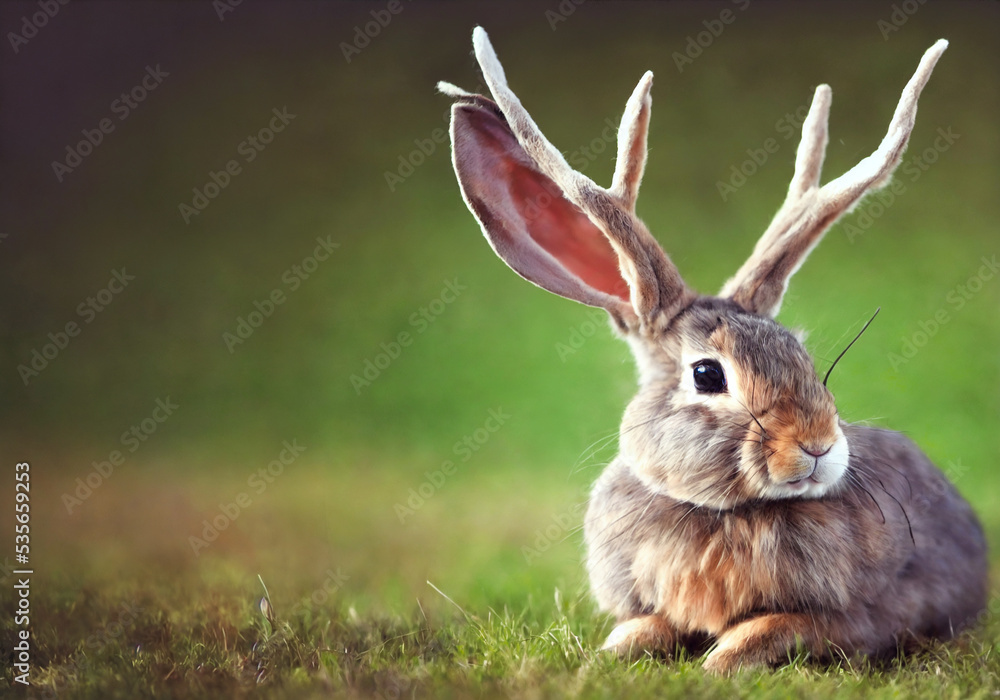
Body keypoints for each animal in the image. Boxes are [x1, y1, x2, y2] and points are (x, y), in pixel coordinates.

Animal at [439, 27, 988, 674]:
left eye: (806, 362)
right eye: (706, 374)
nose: (818, 444)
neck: (725, 513)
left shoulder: (858, 617)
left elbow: (779, 627)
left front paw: (719, 661)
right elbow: (644, 626)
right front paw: (612, 654)